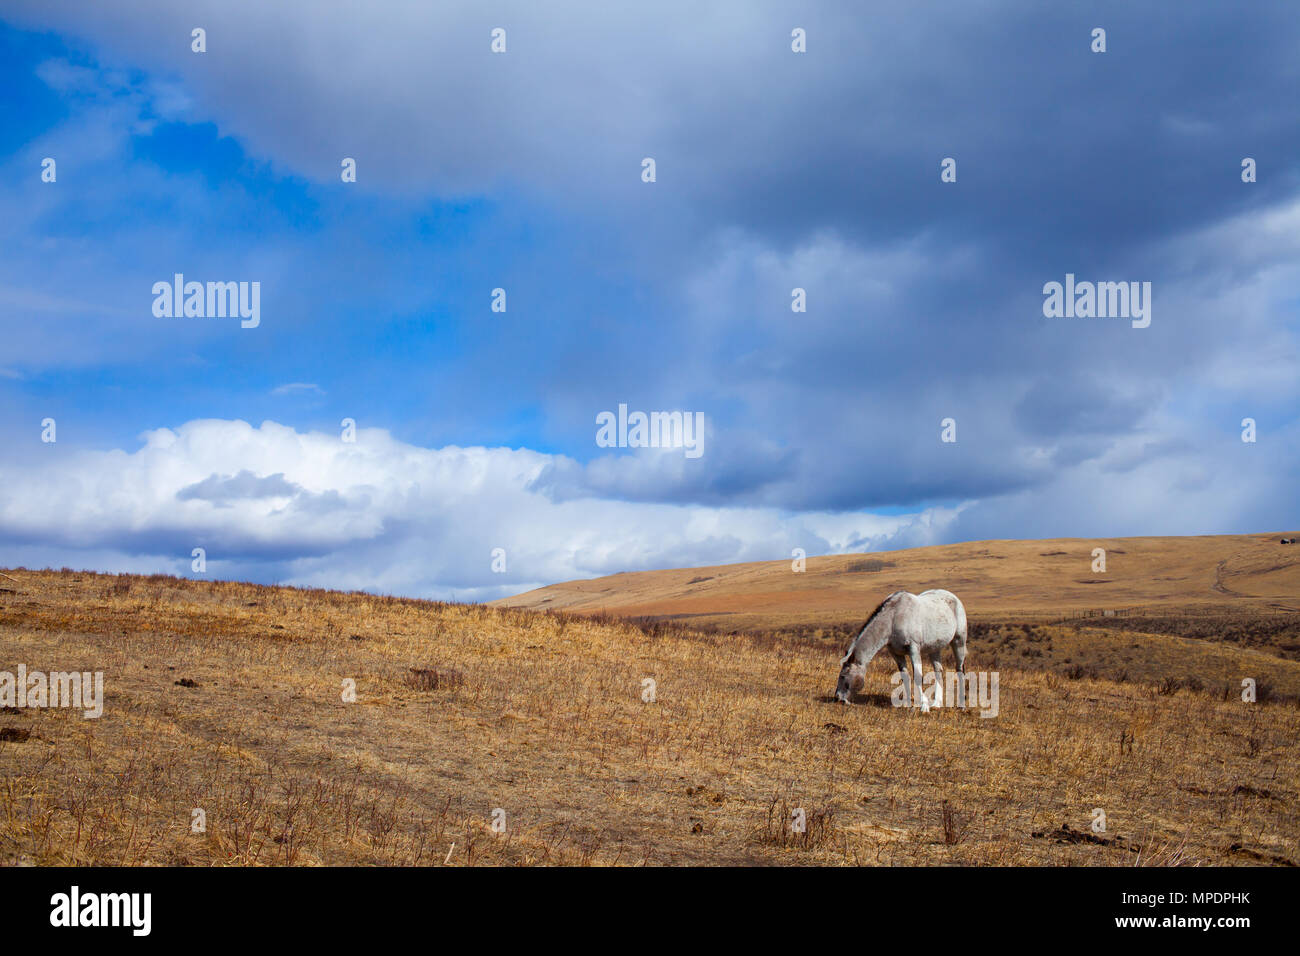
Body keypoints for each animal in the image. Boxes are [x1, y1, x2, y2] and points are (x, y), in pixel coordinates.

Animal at [833, 589, 967, 710]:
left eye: (843, 676)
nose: (837, 698)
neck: (894, 617)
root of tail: (953, 597)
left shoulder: (914, 648)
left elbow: (917, 676)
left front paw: (923, 706)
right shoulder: (896, 653)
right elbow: (905, 677)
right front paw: (908, 704)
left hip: (959, 641)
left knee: (960, 669)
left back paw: (961, 705)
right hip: (934, 648)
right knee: (938, 670)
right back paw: (937, 704)